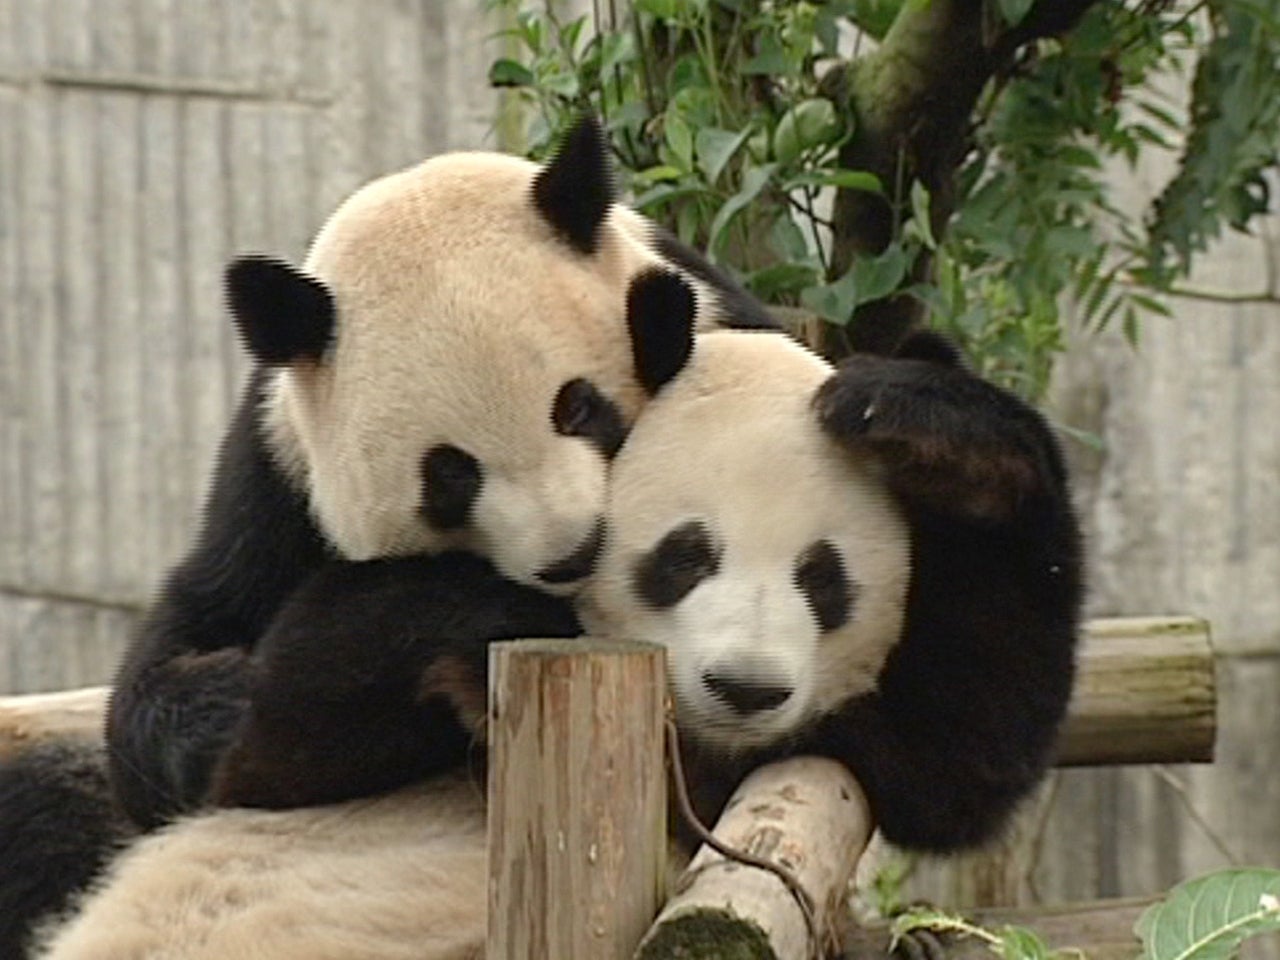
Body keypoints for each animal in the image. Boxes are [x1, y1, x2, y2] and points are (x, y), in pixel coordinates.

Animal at [33, 304, 1081, 960]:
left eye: (825, 579)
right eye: (684, 555)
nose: (745, 688)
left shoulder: (830, 743)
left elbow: (958, 749)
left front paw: (938, 436)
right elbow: (261, 741)